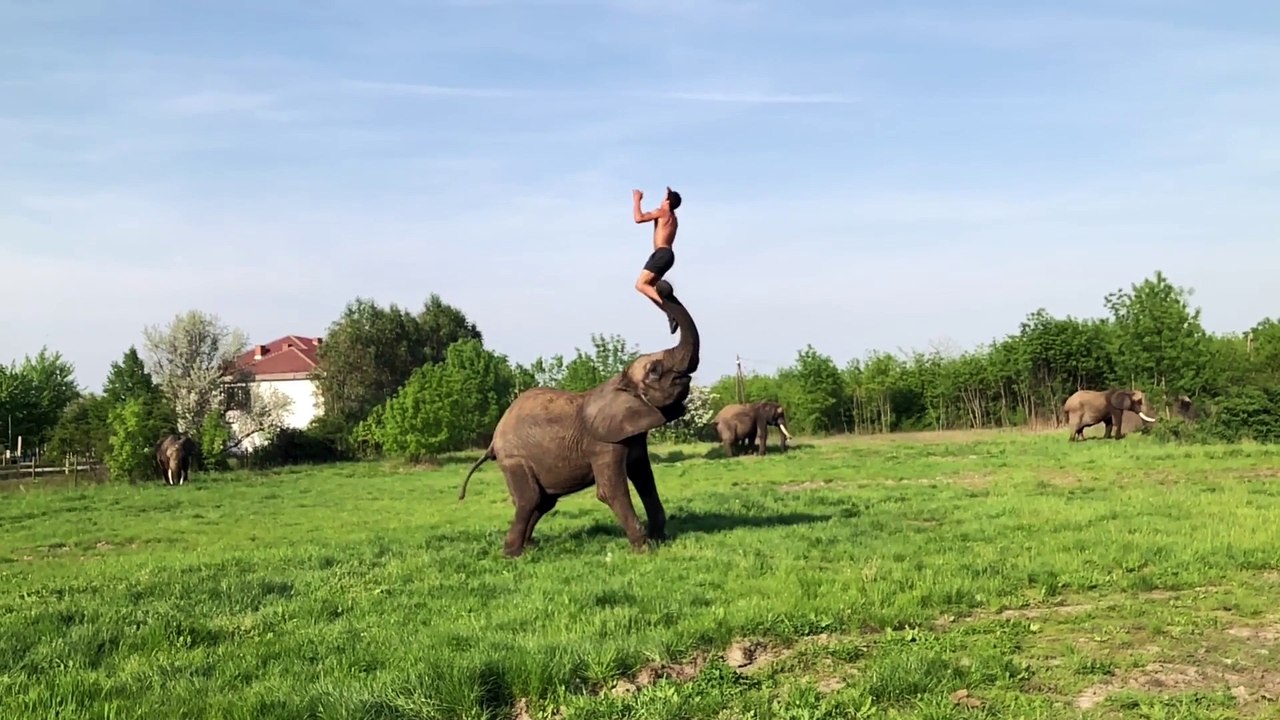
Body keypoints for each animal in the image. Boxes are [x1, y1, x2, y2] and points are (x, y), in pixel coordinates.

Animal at [458, 279, 699, 558]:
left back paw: (529, 546)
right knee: (529, 499)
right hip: (515, 459)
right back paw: (513, 554)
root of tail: (493, 440)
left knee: (543, 501)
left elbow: (646, 481)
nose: (662, 286)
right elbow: (611, 491)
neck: (620, 383)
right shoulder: (603, 444)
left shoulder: (633, 437)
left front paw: (660, 540)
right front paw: (644, 549)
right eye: (654, 371)